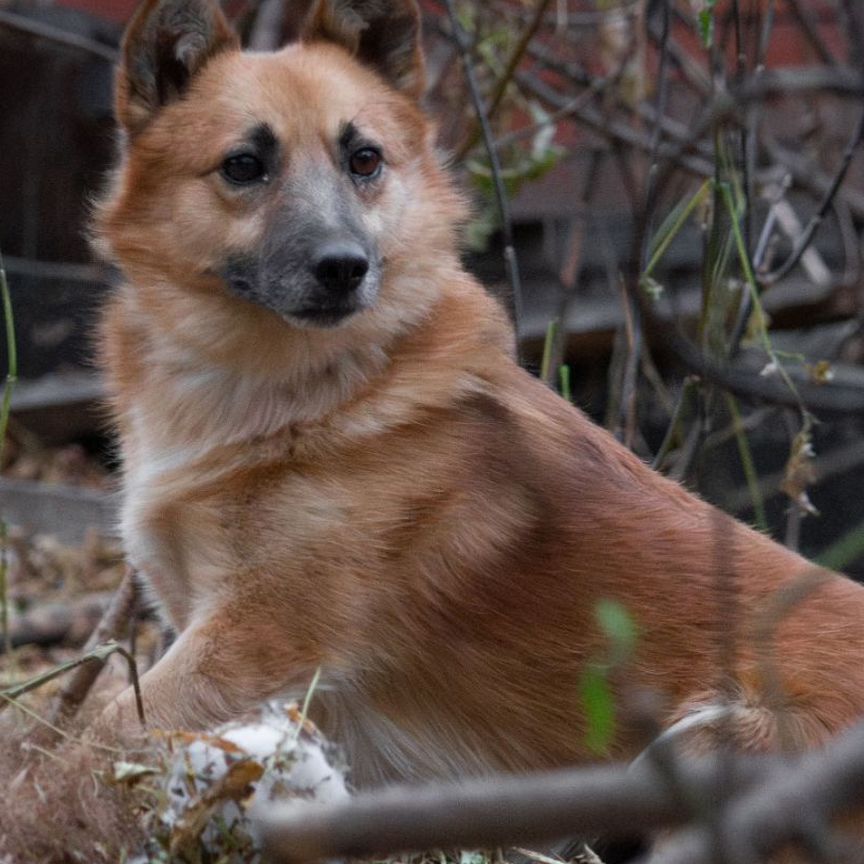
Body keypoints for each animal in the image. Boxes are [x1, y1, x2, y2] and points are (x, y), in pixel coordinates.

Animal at [94, 0, 864, 788]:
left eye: (364, 159)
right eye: (244, 166)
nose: (344, 267)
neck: (307, 392)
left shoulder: (250, 641)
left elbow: (92, 738)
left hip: (704, 739)